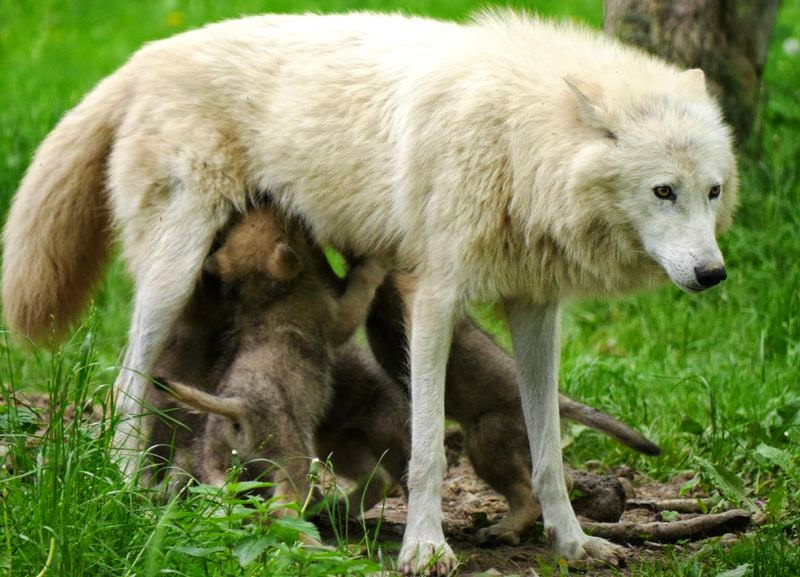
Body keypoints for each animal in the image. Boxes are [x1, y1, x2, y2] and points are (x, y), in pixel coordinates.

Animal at [2, 11, 737, 573]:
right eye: (661, 191)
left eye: (712, 190)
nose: (713, 275)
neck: (515, 141)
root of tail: (146, 56)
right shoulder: (434, 297)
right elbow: (428, 449)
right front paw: (426, 549)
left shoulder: (535, 309)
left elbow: (549, 446)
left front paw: (575, 542)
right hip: (174, 270)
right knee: (124, 384)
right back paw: (130, 489)